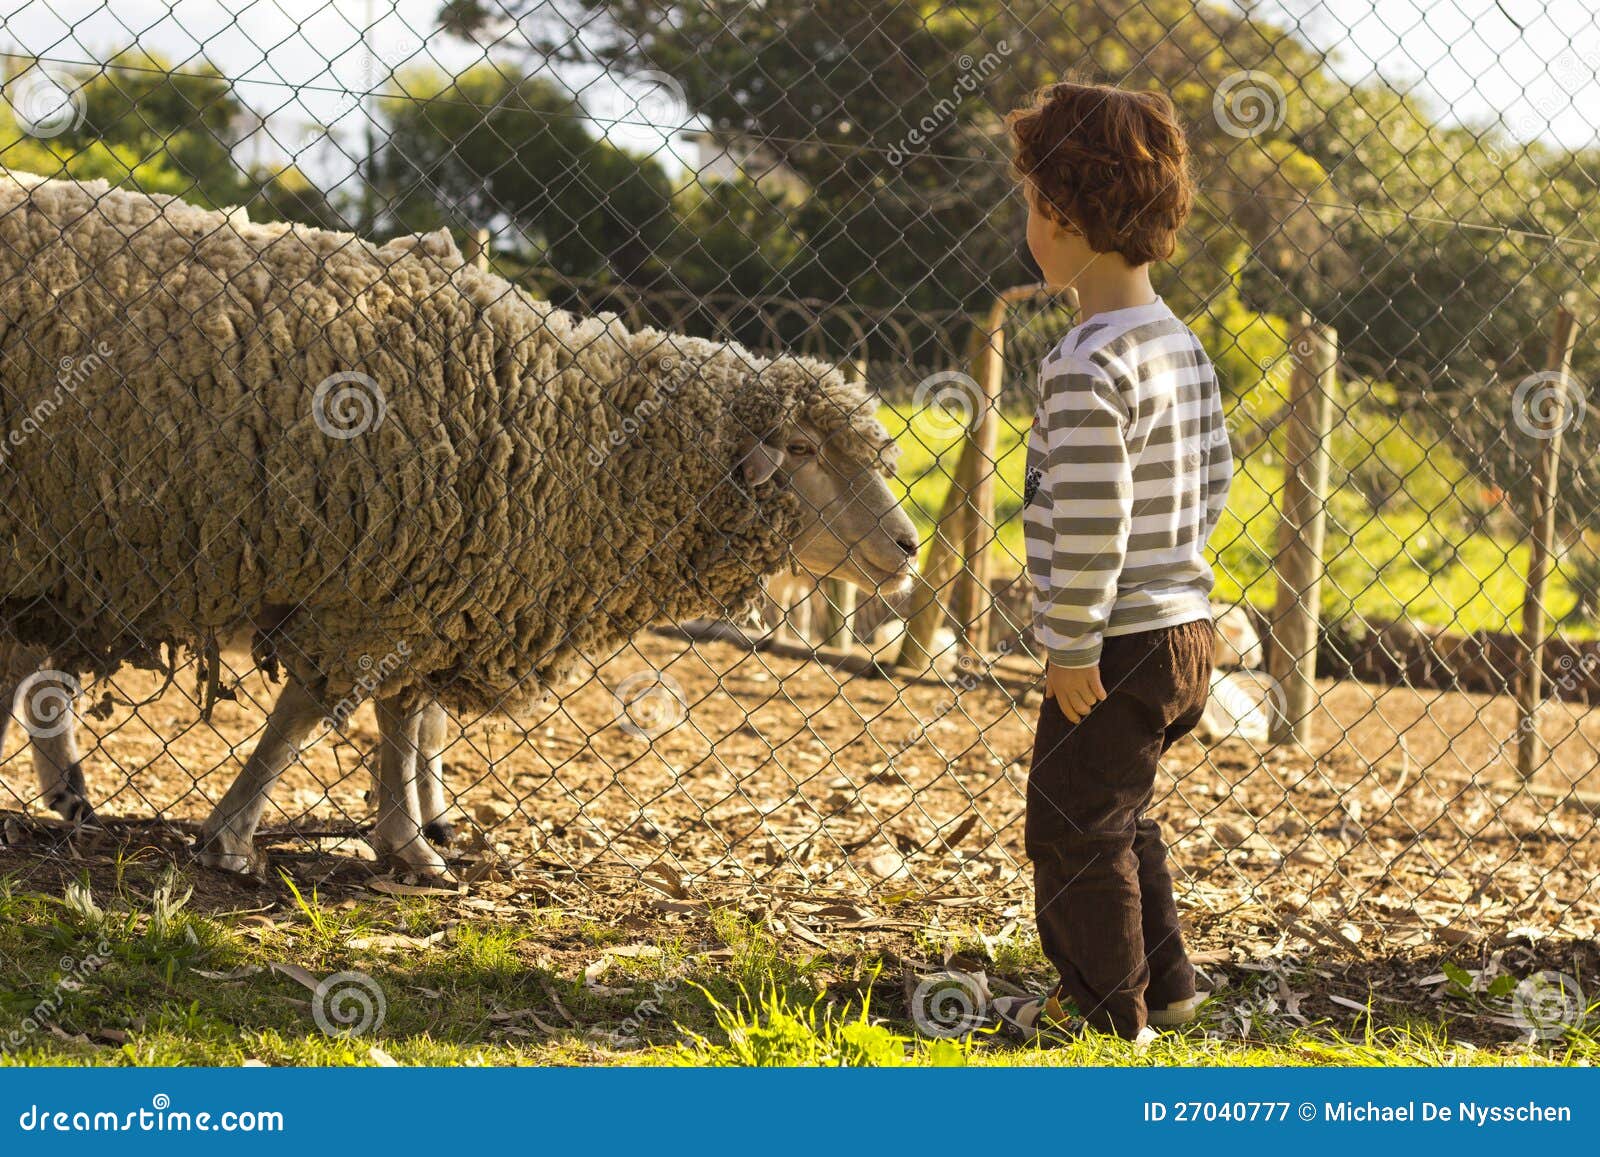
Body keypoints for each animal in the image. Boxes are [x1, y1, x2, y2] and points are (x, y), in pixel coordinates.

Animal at [0, 172, 918, 877]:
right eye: (804, 448)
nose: (909, 546)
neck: (571, 433)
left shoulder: (427, 585)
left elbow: (401, 721)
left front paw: (406, 840)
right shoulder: (378, 590)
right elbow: (309, 719)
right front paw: (237, 838)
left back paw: (68, 795)